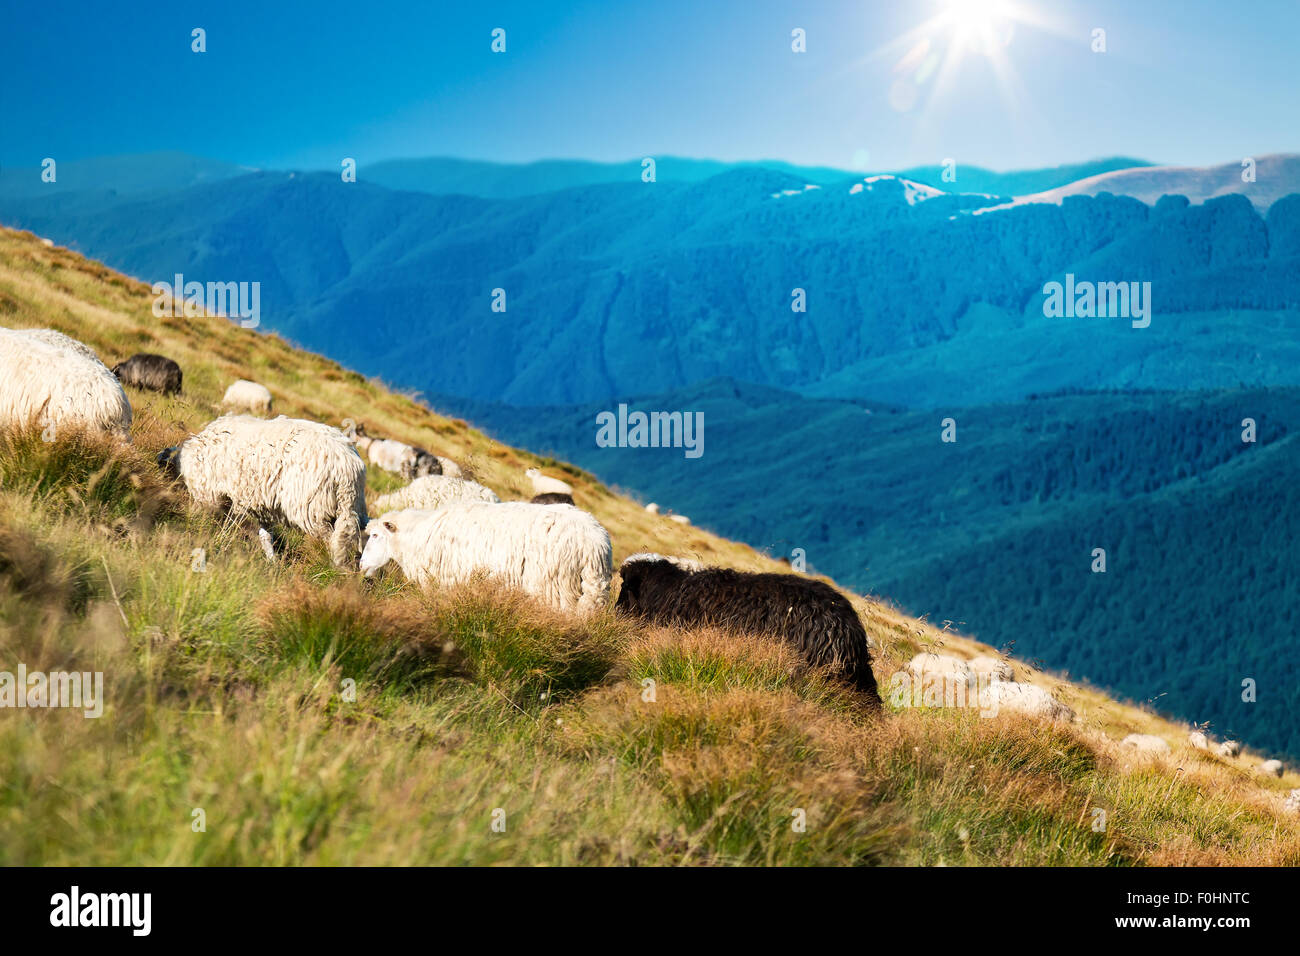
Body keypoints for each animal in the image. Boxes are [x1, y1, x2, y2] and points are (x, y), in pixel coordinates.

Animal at [158, 415, 366, 568]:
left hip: (310, 508)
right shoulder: (261, 503)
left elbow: (222, 518)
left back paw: (334, 567)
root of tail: (348, 468)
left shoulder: (215, 493)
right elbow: (264, 535)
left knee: (331, 539)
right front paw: (271, 561)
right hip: (353, 508)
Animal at [360, 501, 612, 614]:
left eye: (375, 535)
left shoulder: (443, 582)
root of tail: (596, 546)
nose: (361, 565)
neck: (417, 535)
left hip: (555, 591)